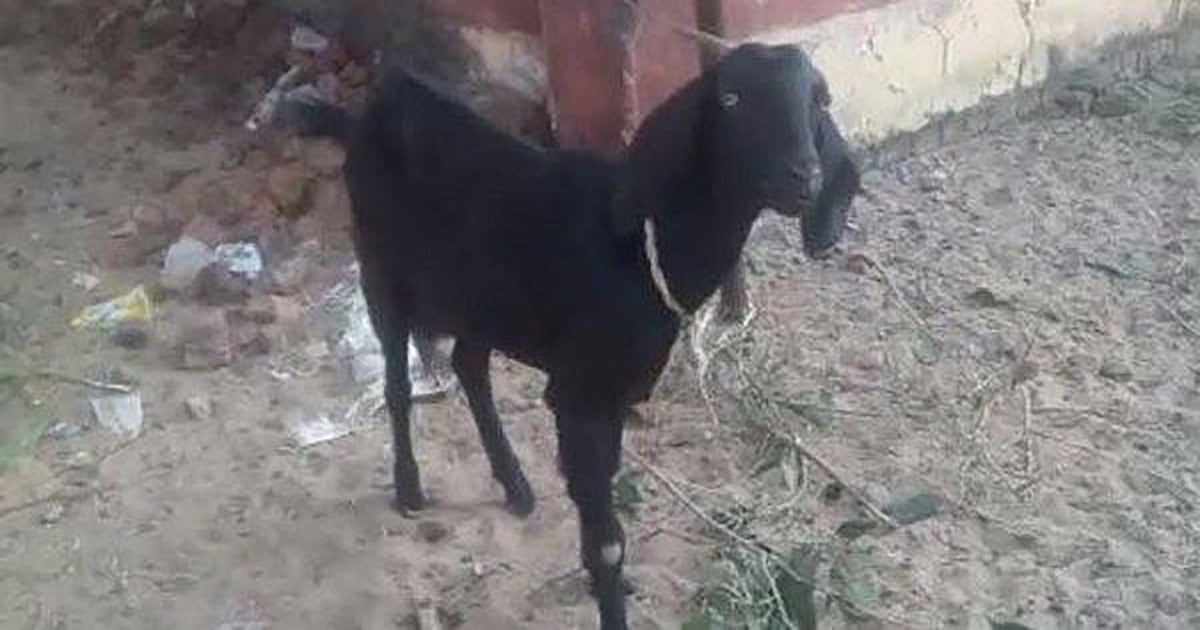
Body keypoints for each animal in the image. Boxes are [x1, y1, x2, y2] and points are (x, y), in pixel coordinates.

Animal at [285, 42, 857, 630]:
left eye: (820, 99)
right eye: (731, 99)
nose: (802, 176)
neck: (644, 250)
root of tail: (374, 110)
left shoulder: (613, 395)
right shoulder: (581, 394)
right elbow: (607, 540)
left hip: (485, 300)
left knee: (470, 365)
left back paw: (515, 485)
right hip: (381, 266)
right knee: (398, 383)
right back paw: (410, 489)